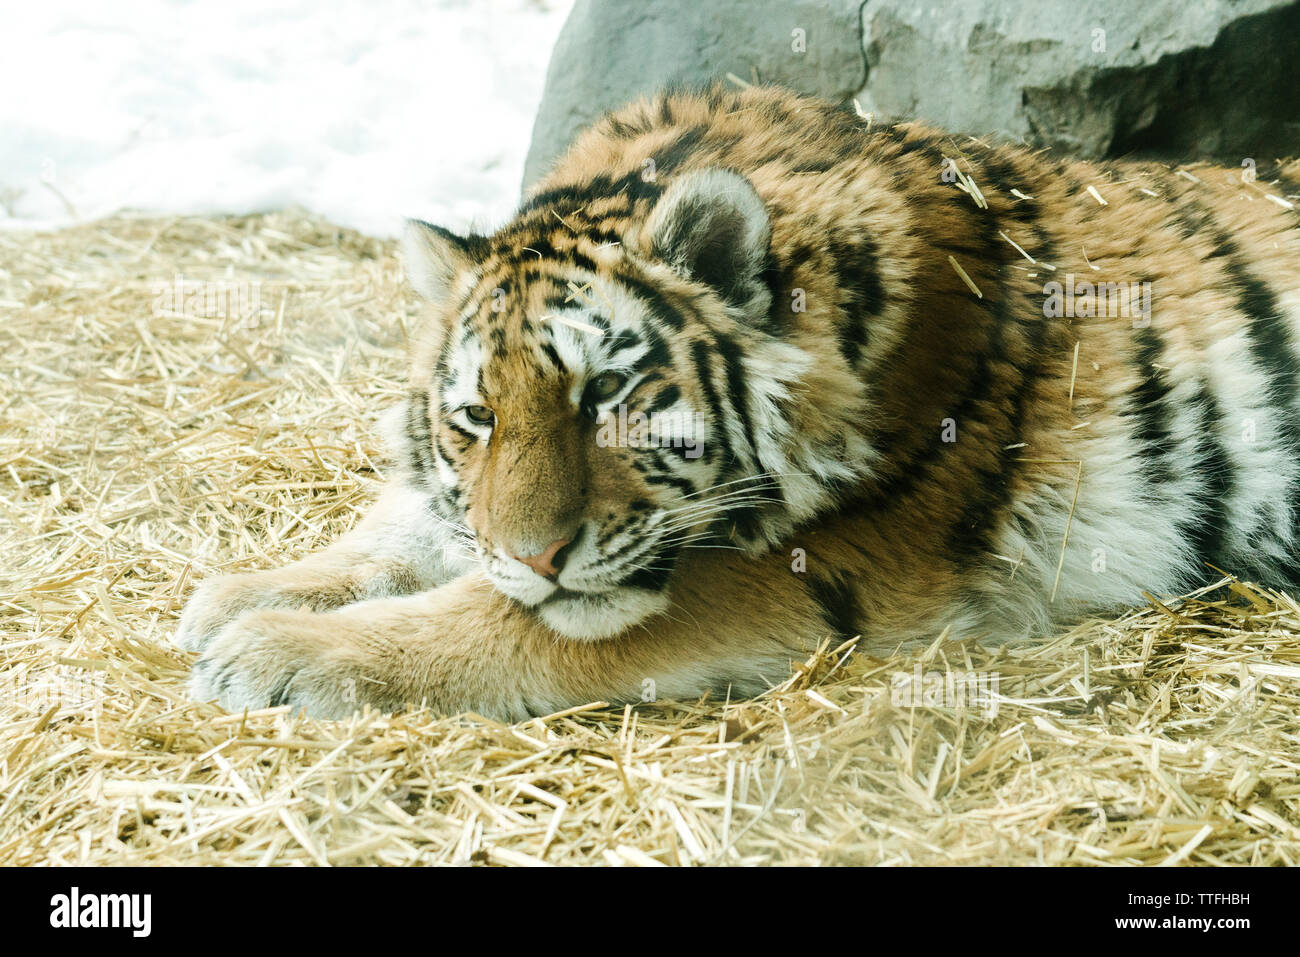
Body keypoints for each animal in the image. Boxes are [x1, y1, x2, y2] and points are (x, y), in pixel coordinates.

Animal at [176, 84, 1300, 721]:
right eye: (477, 418)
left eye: (607, 394)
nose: (536, 559)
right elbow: (413, 527)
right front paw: (243, 593)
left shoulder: (823, 561)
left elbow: (505, 621)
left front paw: (277, 652)